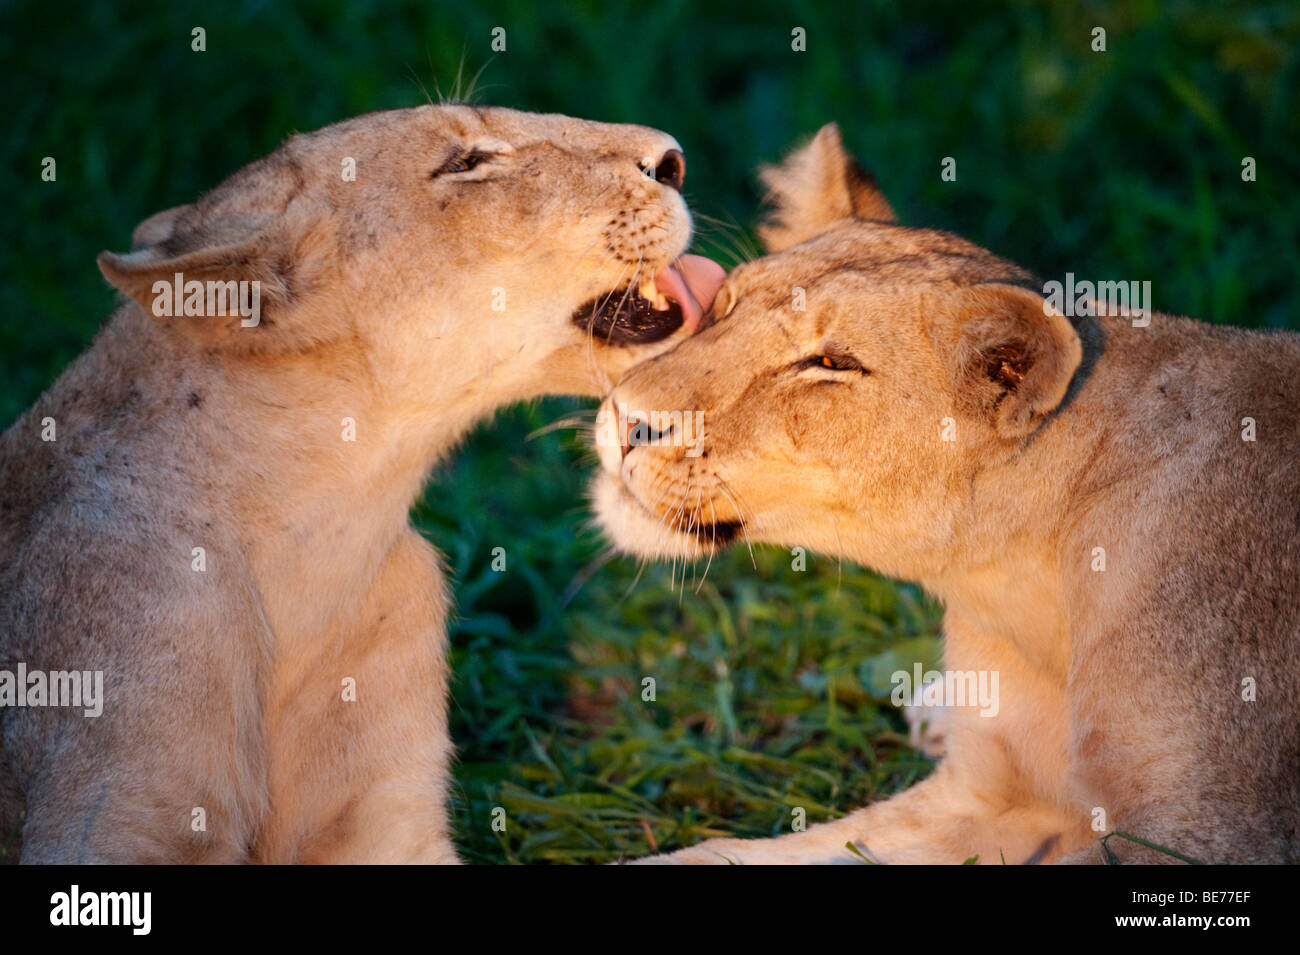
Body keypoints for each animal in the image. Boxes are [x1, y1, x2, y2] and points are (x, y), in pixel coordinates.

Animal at [592, 124, 1300, 864]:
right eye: (724, 307)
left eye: (830, 364)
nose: (625, 419)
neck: (1023, 590)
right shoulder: (984, 799)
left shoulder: (1205, 834)